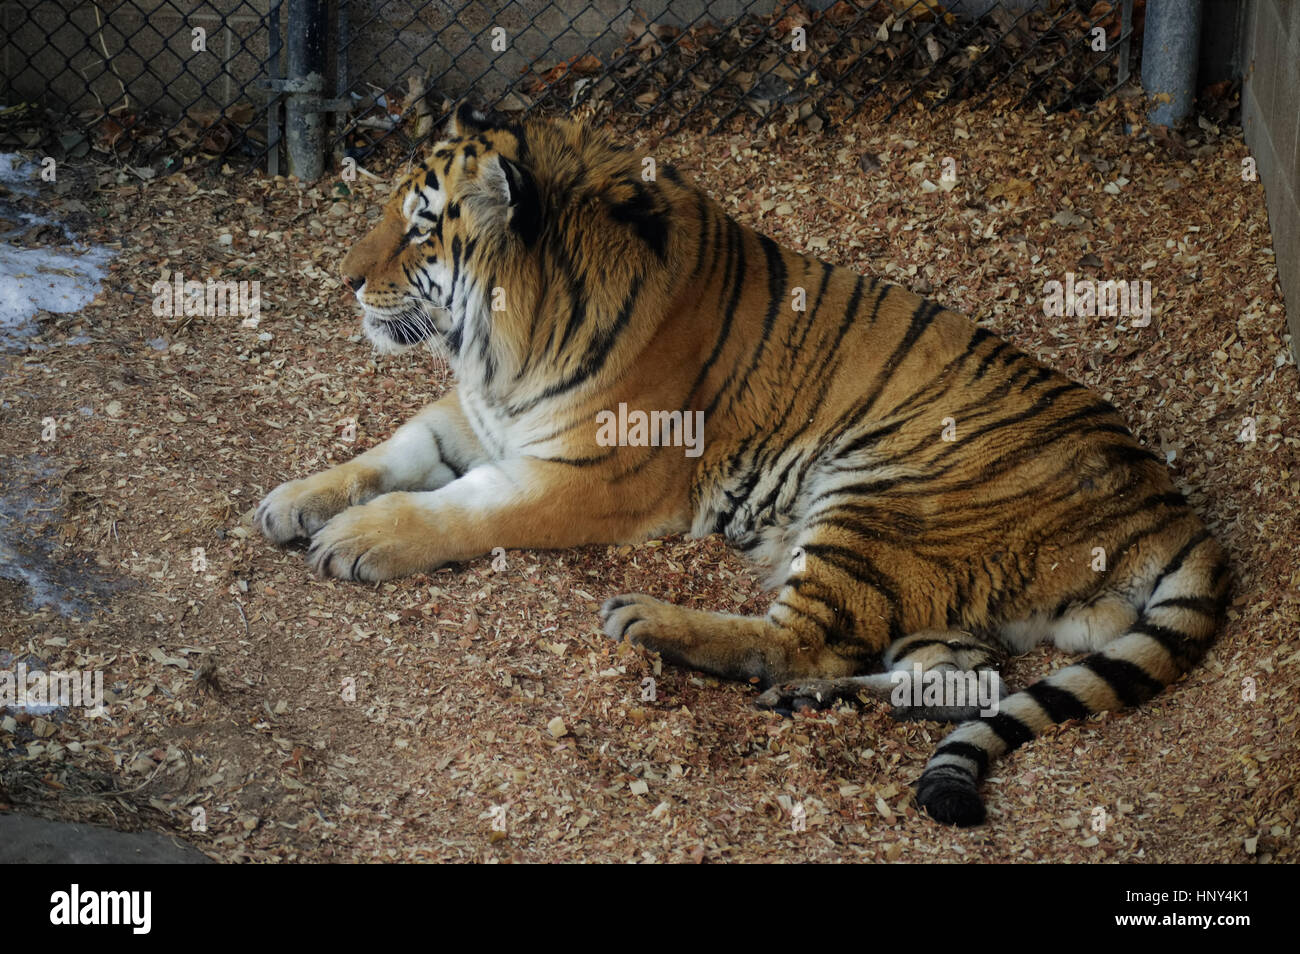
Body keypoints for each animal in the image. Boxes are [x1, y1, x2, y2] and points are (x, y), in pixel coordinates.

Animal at [255, 103, 1229, 826]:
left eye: (422, 229)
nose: (344, 280)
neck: (512, 344)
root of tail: (1171, 507)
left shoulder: (583, 477)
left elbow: (460, 507)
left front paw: (356, 541)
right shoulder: (481, 417)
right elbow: (392, 452)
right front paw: (291, 502)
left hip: (880, 491)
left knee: (797, 637)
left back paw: (649, 622)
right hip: (939, 583)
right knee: (958, 680)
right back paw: (810, 703)